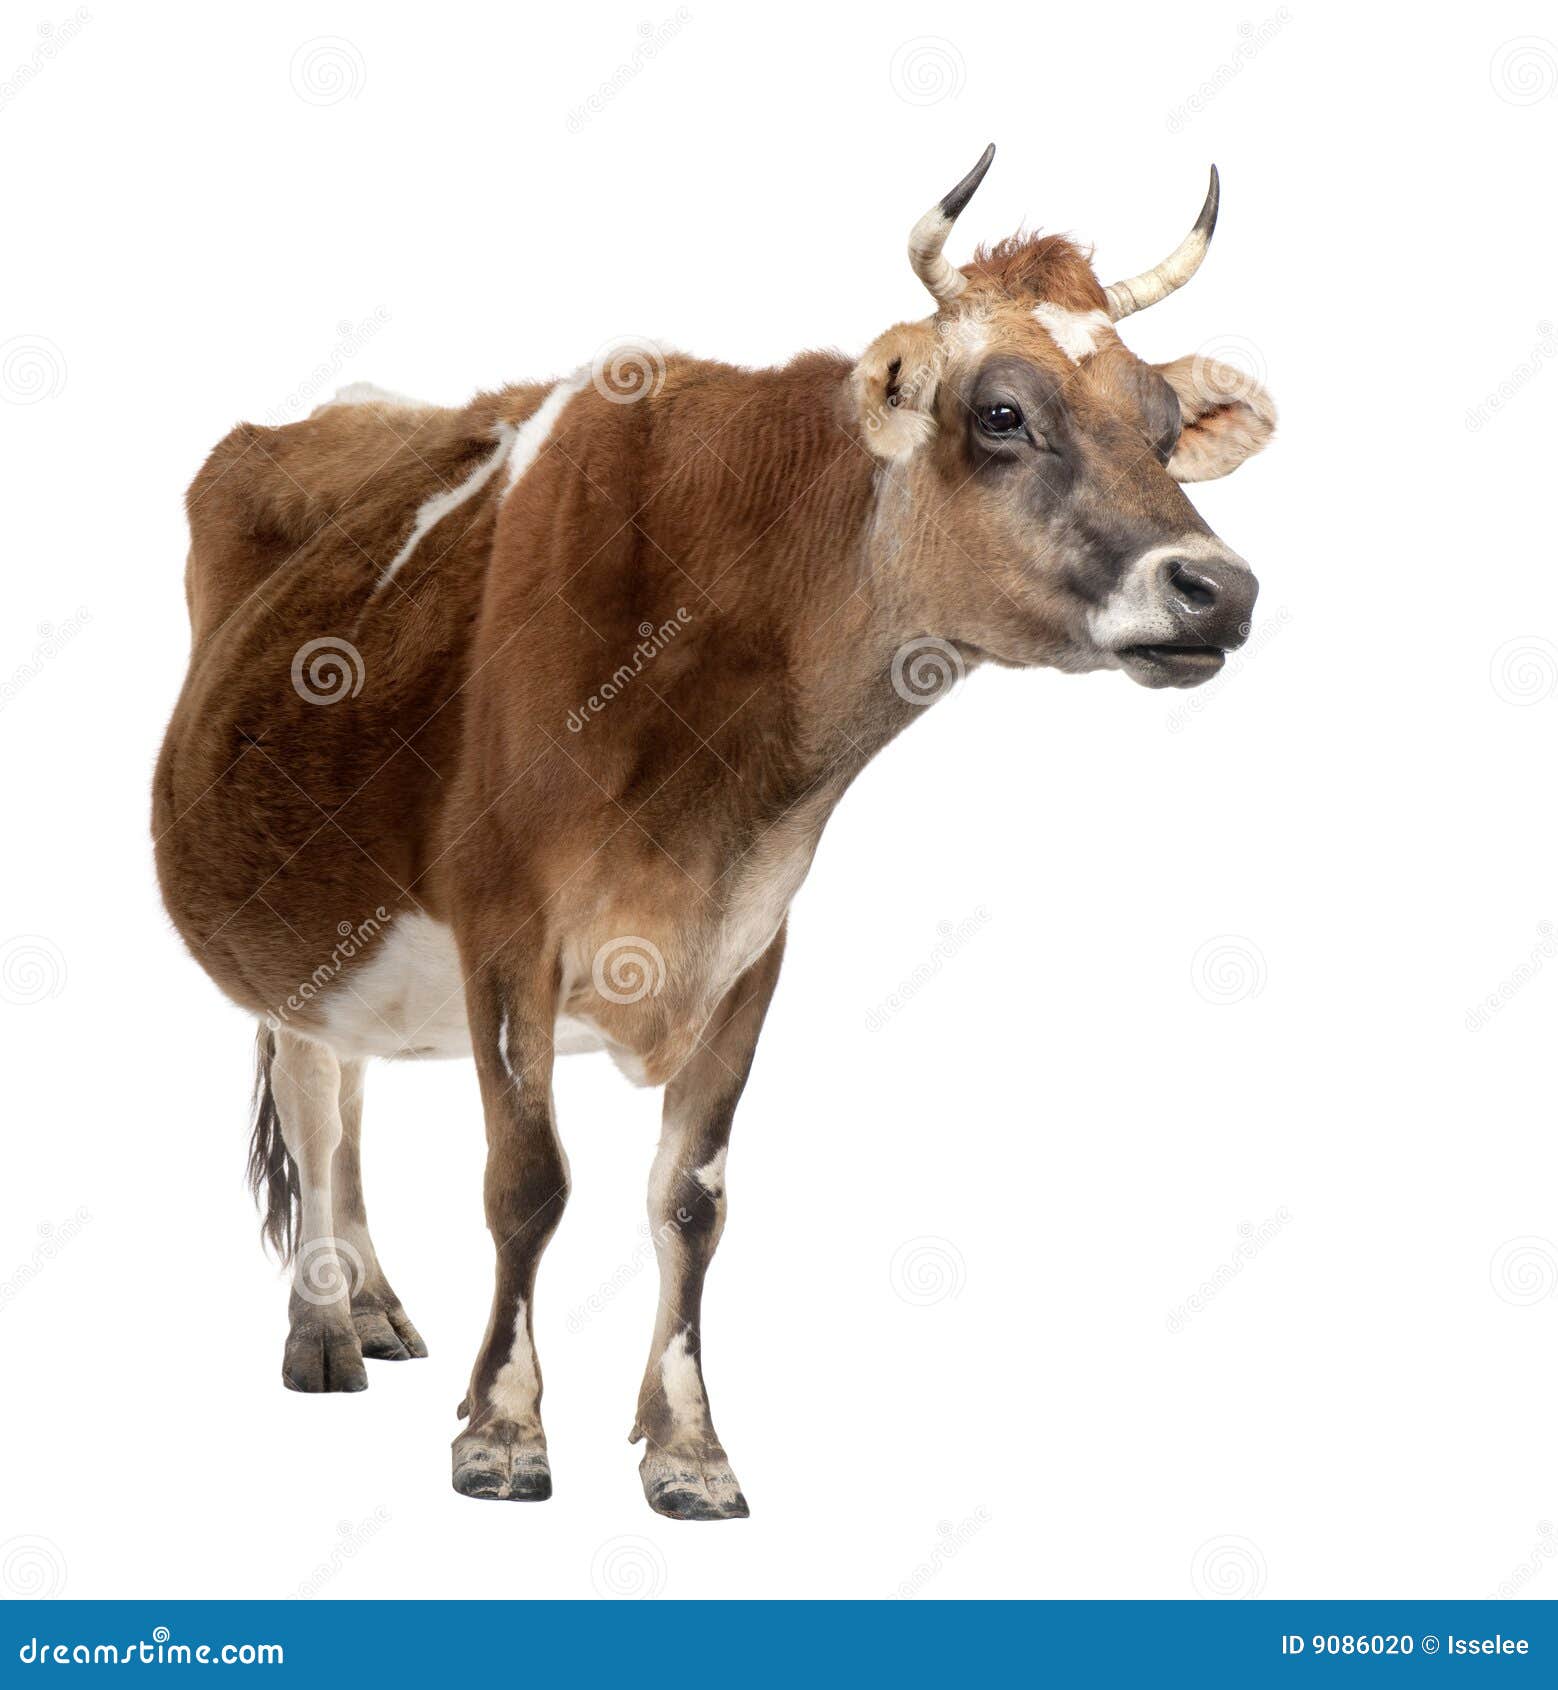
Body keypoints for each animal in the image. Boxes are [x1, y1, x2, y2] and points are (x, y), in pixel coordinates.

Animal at [152, 146, 1275, 1520]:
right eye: (1002, 414)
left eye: (1164, 429)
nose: (1218, 590)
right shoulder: (505, 930)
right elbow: (527, 1182)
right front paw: (503, 1429)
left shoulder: (751, 942)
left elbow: (691, 1199)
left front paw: (687, 1446)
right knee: (312, 1090)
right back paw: (321, 1328)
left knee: (346, 1086)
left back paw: (368, 1303)